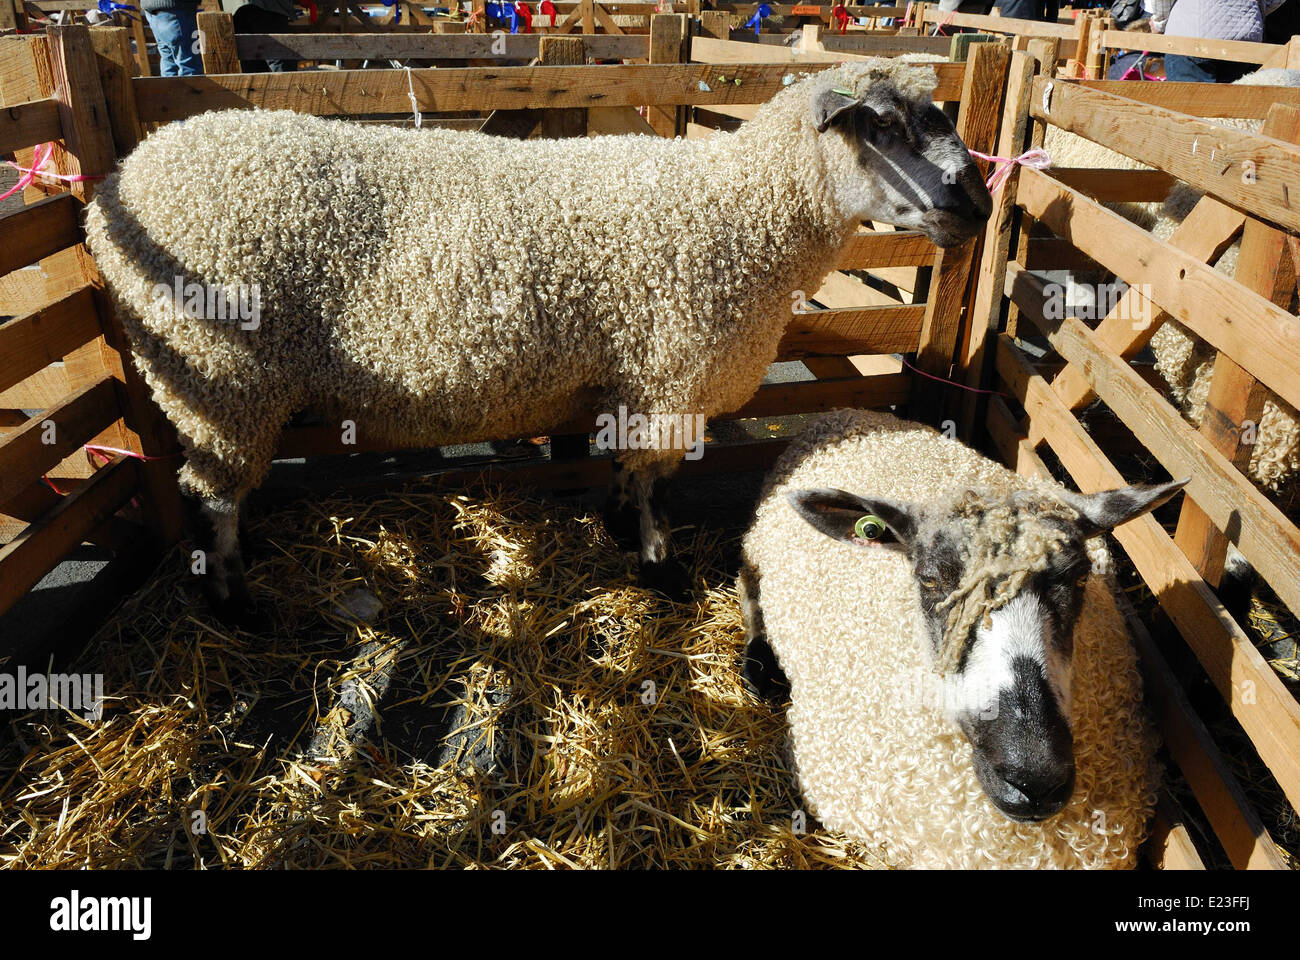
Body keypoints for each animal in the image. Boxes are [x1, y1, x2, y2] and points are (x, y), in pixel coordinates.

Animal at [84, 60, 993, 623]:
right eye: (882, 126)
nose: (978, 205)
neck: (741, 210)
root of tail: (114, 189)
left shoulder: (638, 375)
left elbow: (627, 465)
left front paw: (619, 526)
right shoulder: (671, 374)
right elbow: (657, 480)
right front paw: (658, 565)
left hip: (218, 387)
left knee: (216, 489)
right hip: (219, 376)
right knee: (213, 494)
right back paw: (237, 603)